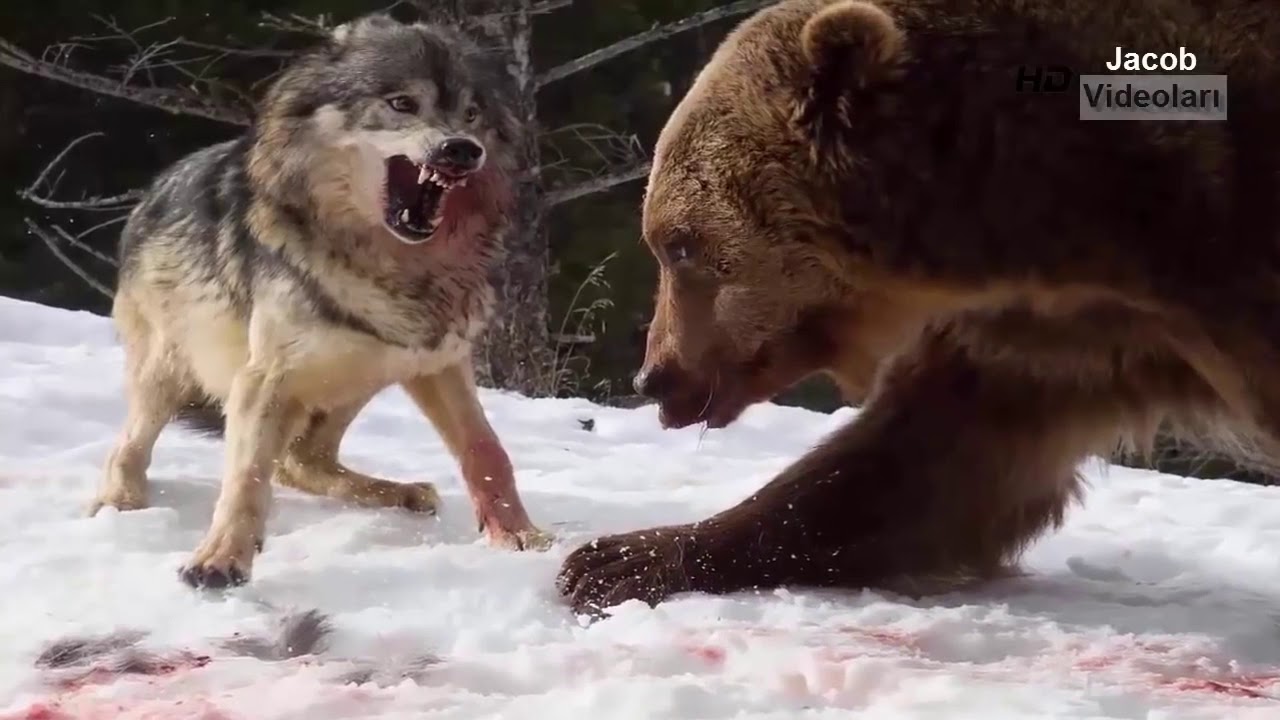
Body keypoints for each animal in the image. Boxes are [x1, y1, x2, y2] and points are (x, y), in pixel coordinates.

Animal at [89, 13, 552, 589]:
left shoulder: (438, 362)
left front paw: (520, 536)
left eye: (472, 114)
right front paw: (219, 559)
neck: (395, 267)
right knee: (130, 447)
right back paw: (120, 502)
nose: (462, 149)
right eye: (402, 103)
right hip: (173, 370)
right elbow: (245, 478)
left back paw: (402, 493)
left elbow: (487, 450)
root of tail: (150, 193)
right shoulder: (264, 377)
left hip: (363, 372)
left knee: (302, 461)